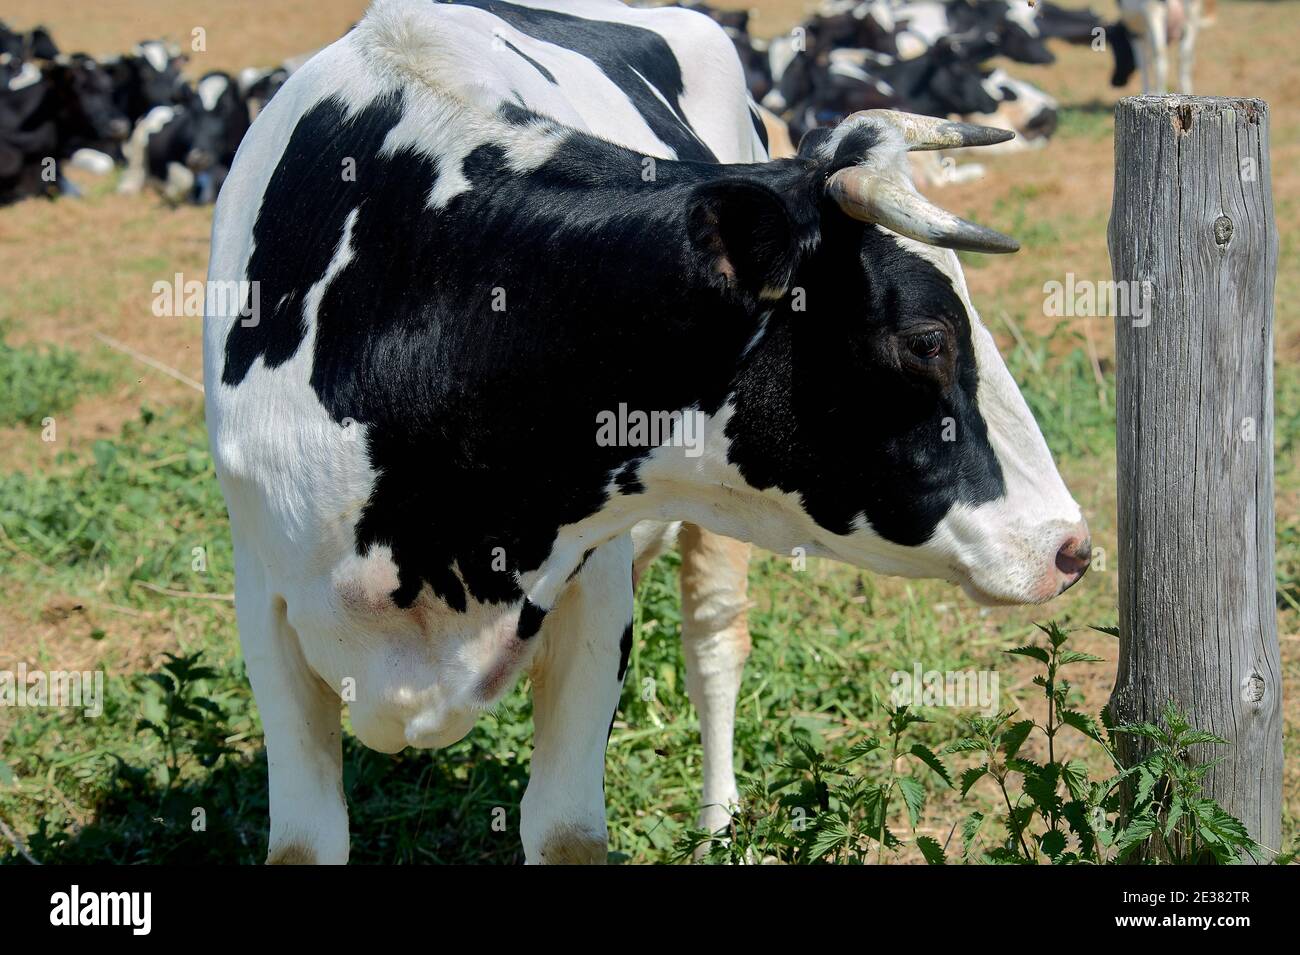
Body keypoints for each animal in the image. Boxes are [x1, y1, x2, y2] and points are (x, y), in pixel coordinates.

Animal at [205, 0, 1089, 865]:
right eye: (928, 341)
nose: (1072, 546)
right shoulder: (264, 602)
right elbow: (304, 841)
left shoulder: (594, 580)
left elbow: (565, 829)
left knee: (714, 648)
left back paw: (720, 824)